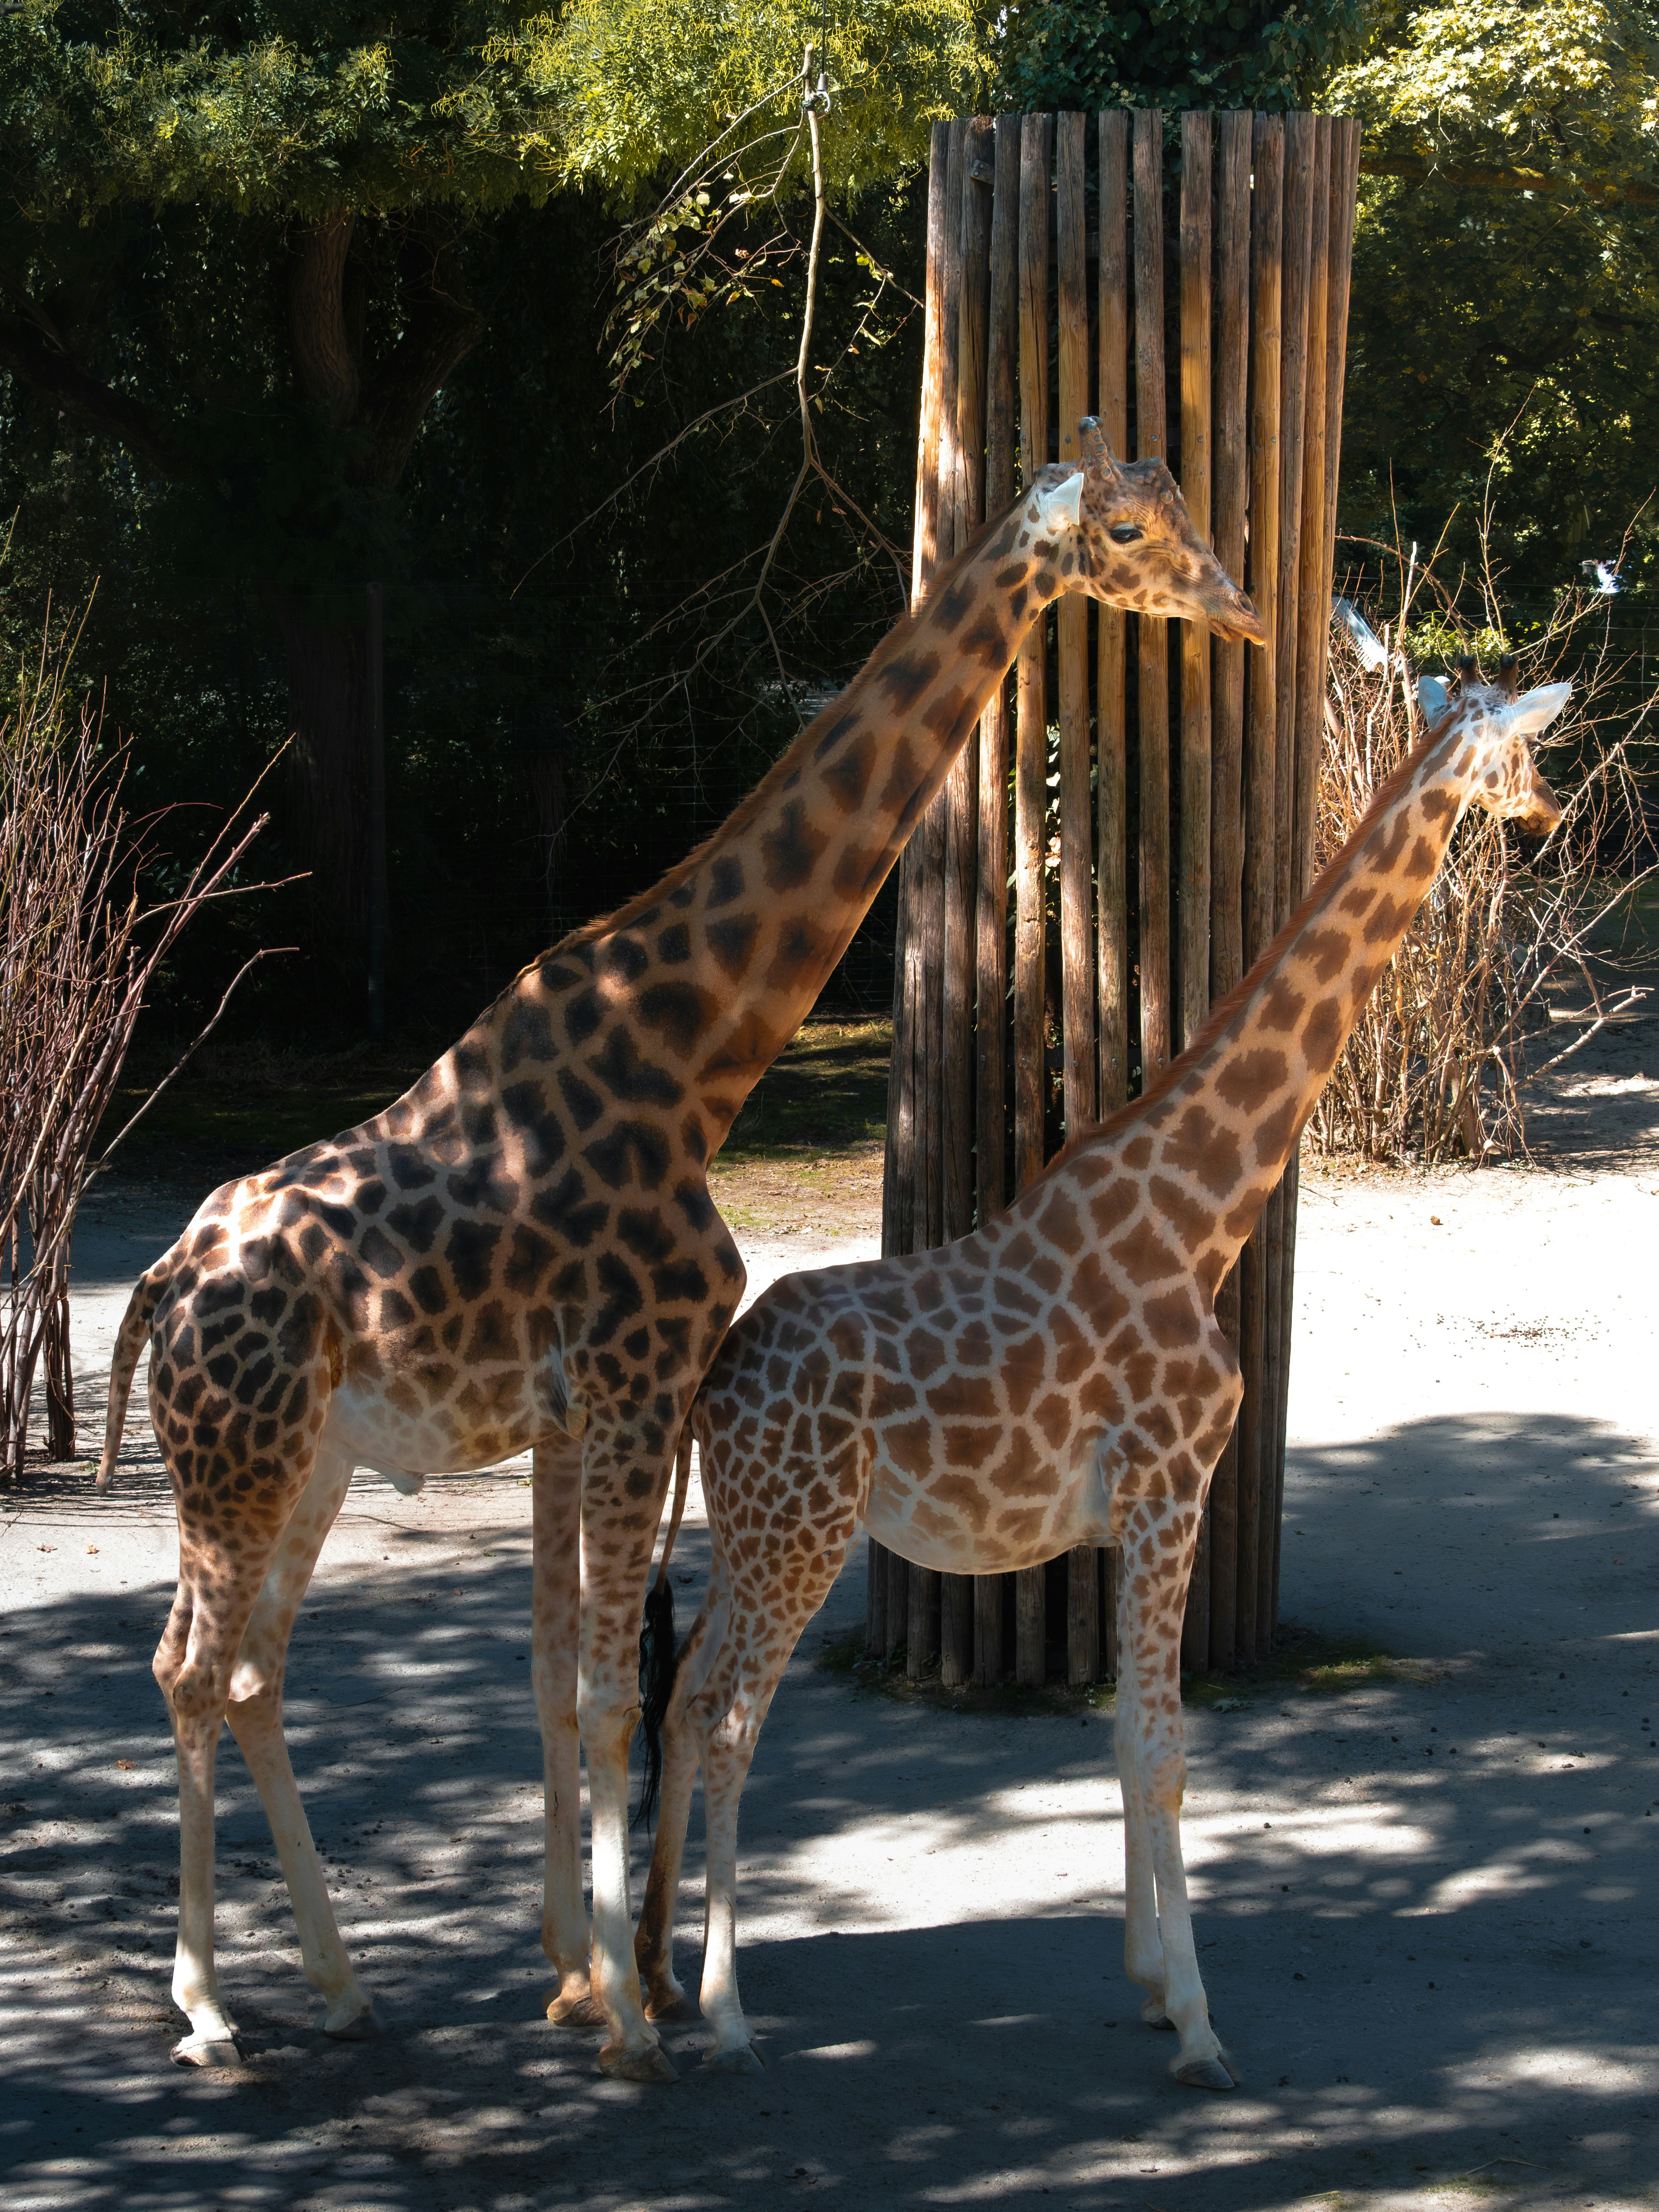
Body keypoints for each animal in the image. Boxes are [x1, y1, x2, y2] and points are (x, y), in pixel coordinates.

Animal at [96, 426, 1266, 2079]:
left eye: (1174, 511)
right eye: (1122, 532)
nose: (1238, 607)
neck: (696, 1050)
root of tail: (156, 1286)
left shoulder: (572, 1411)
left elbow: (555, 1679)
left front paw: (581, 1977)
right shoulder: (636, 1382)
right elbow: (606, 1688)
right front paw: (633, 2016)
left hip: (305, 1458)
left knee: (250, 1669)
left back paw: (336, 1981)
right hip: (236, 1461)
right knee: (193, 1668)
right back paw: (205, 2010)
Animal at [635, 665, 1569, 2086]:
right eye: (1519, 747)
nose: (1549, 810)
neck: (1199, 1211)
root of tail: (712, 1392)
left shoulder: (1129, 1509)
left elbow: (1129, 1735)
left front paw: (1144, 1981)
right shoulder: (1168, 1485)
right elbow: (1162, 1744)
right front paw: (1197, 2025)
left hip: (752, 1536)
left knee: (686, 1699)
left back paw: (659, 1983)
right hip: (803, 1536)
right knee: (734, 1720)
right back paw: (729, 2014)